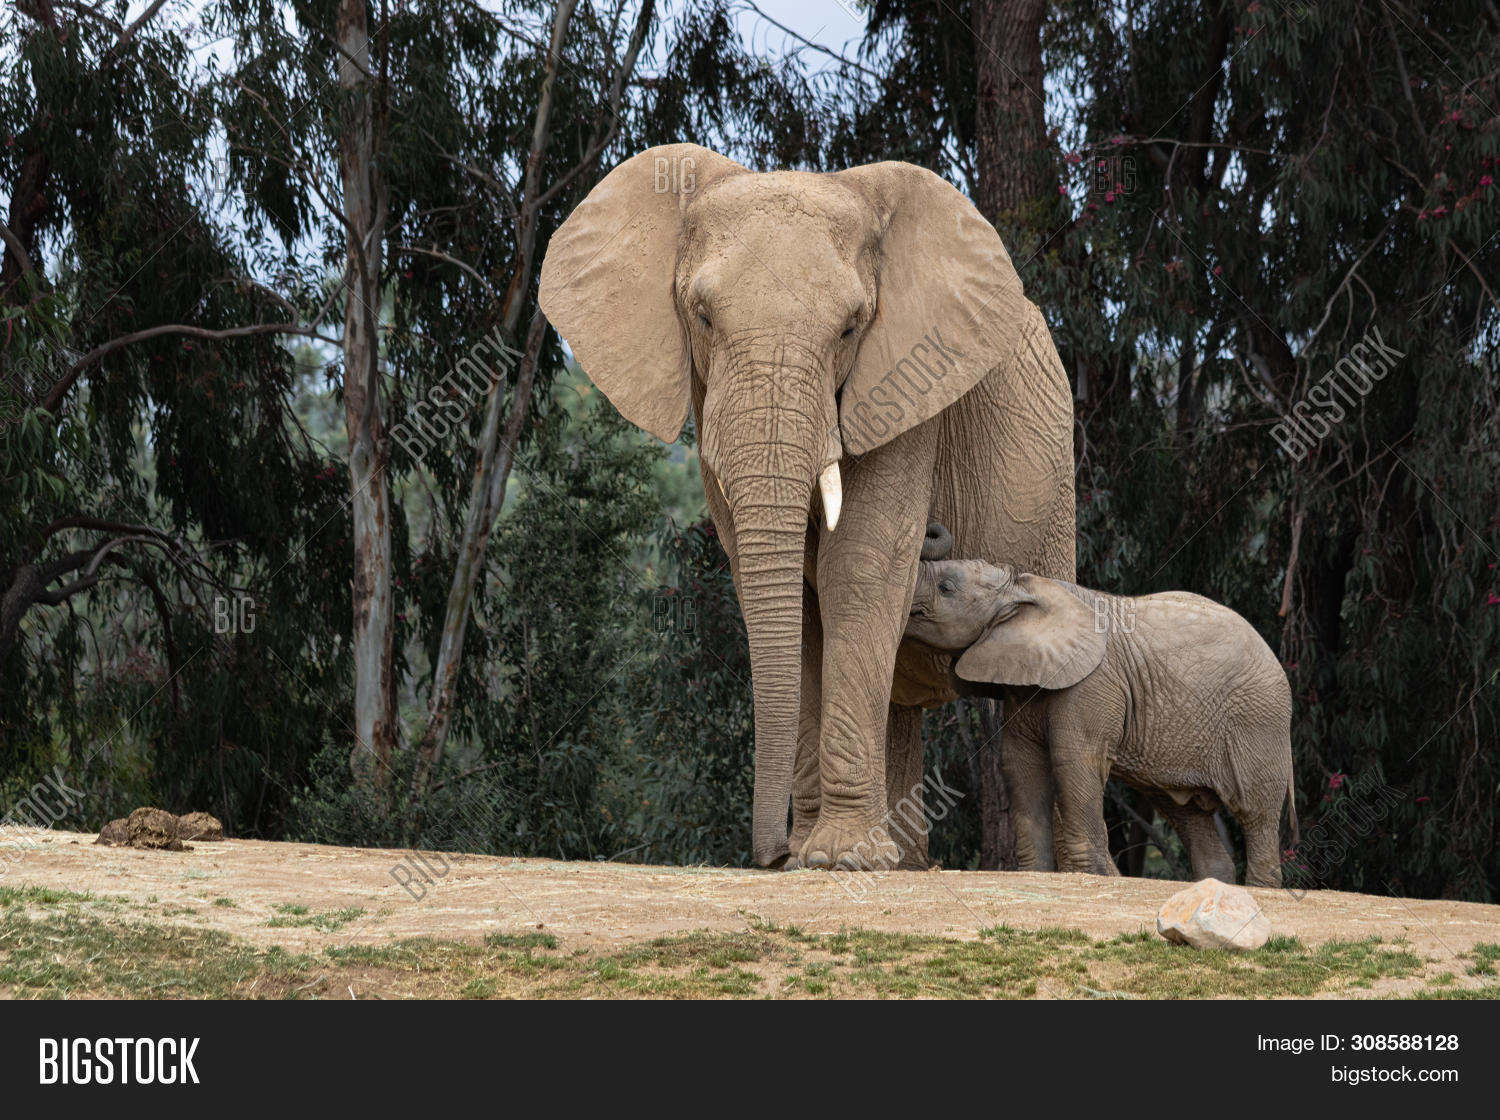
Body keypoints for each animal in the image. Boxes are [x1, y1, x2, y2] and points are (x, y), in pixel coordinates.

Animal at [539, 144, 1075, 870]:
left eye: (850, 328)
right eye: (702, 317)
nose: (766, 854)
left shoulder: (905, 384)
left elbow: (858, 573)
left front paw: (838, 861)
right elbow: (789, 595)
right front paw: (813, 858)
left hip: (1058, 487)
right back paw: (903, 862)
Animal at [904, 538, 1298, 887]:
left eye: (946, 587)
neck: (1022, 589)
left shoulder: (1090, 684)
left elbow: (1075, 760)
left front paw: (1087, 875)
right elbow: (1019, 765)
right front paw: (1036, 874)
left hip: (1259, 721)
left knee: (1256, 811)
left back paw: (1260, 888)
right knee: (1186, 812)